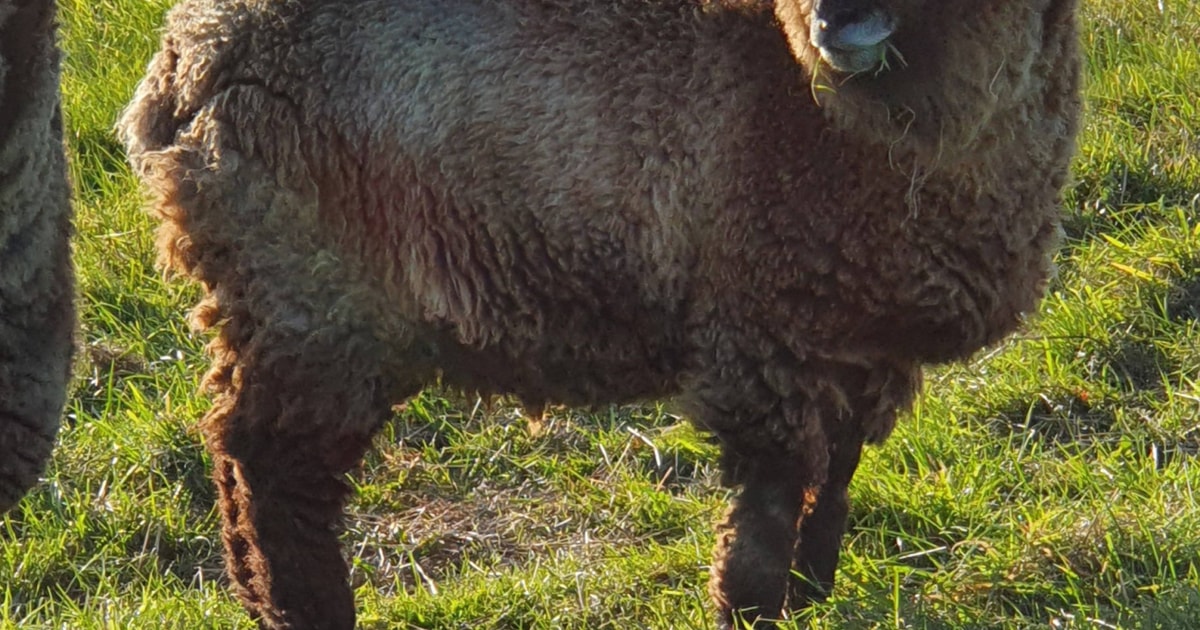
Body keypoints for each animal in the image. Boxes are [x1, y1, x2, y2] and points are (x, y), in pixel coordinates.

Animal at [118, 0, 1082, 627]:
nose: (833, 26)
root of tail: (186, 57)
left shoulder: (861, 339)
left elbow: (837, 469)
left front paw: (815, 586)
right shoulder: (757, 333)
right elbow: (770, 504)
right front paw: (755, 605)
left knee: (235, 453)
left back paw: (258, 594)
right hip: (313, 295)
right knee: (275, 472)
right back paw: (307, 609)